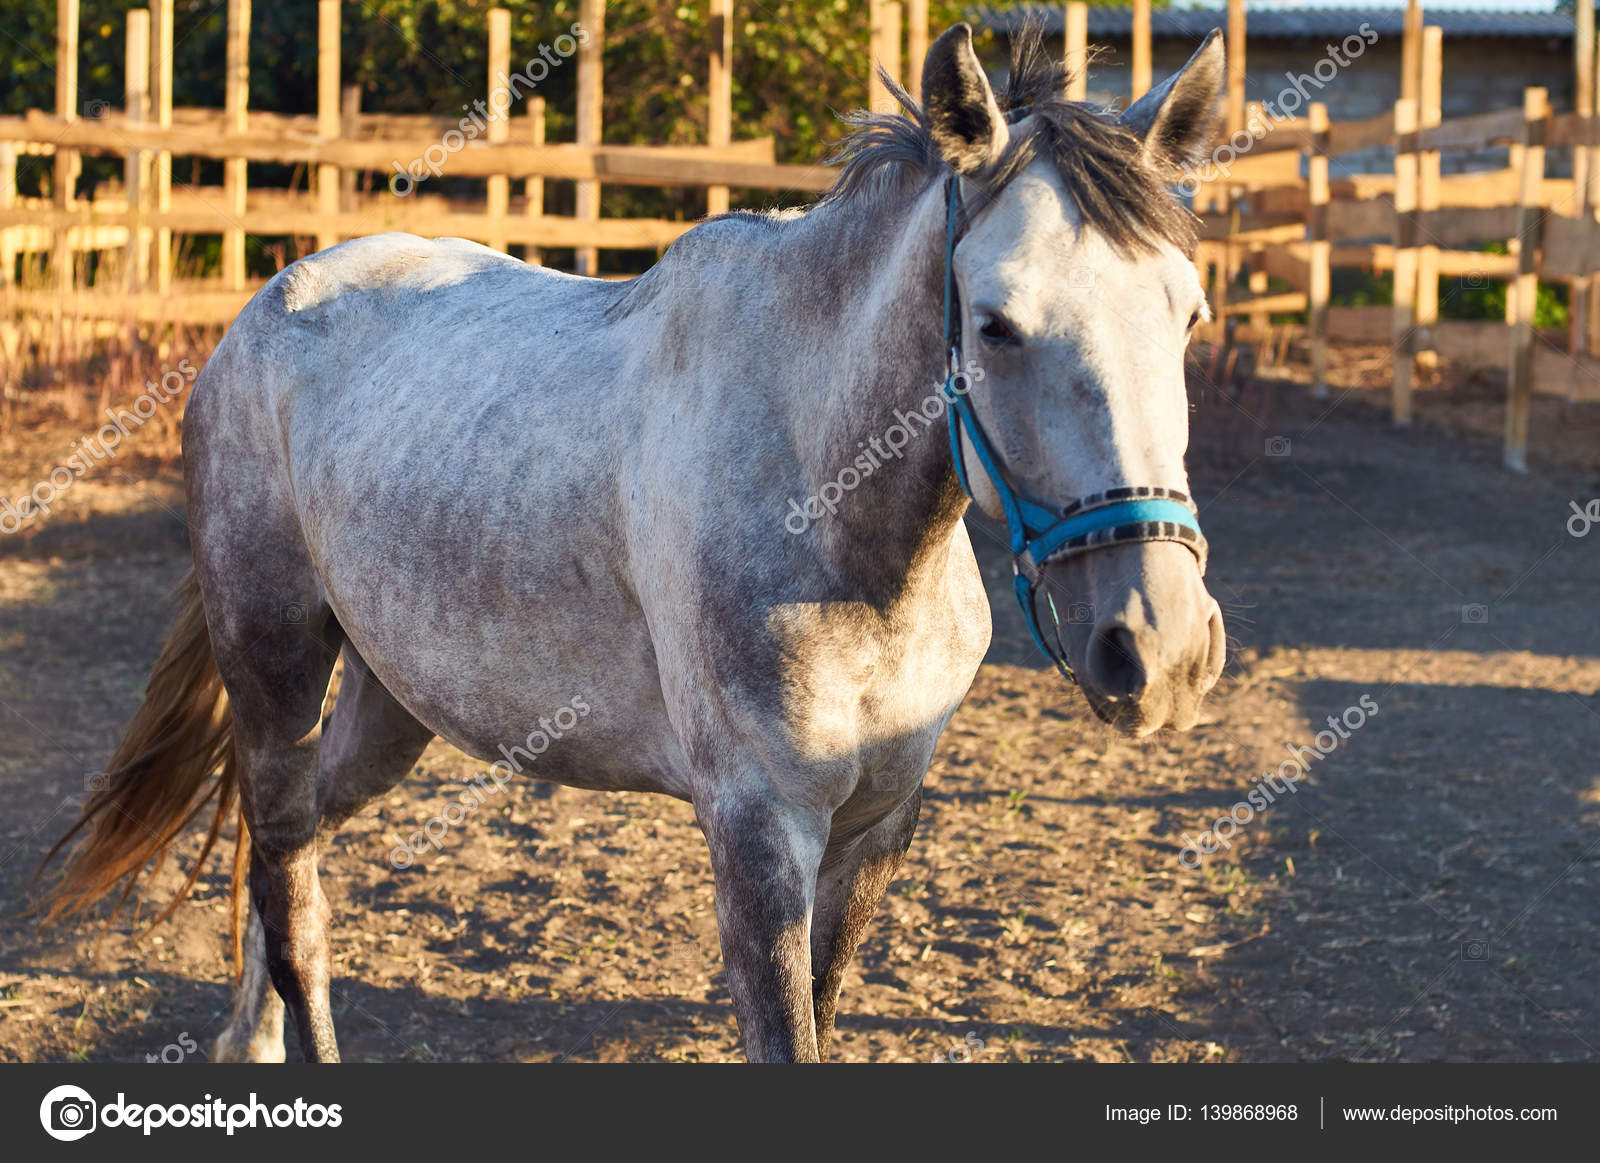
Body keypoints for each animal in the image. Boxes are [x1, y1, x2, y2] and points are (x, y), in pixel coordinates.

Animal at [40, 23, 1227, 1062]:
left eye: (1188, 314)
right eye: (995, 324)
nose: (1160, 648)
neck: (838, 518)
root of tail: (256, 316)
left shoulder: (876, 826)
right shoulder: (758, 834)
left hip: (390, 705)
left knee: (282, 844)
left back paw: (248, 1036)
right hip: (276, 666)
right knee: (293, 896)